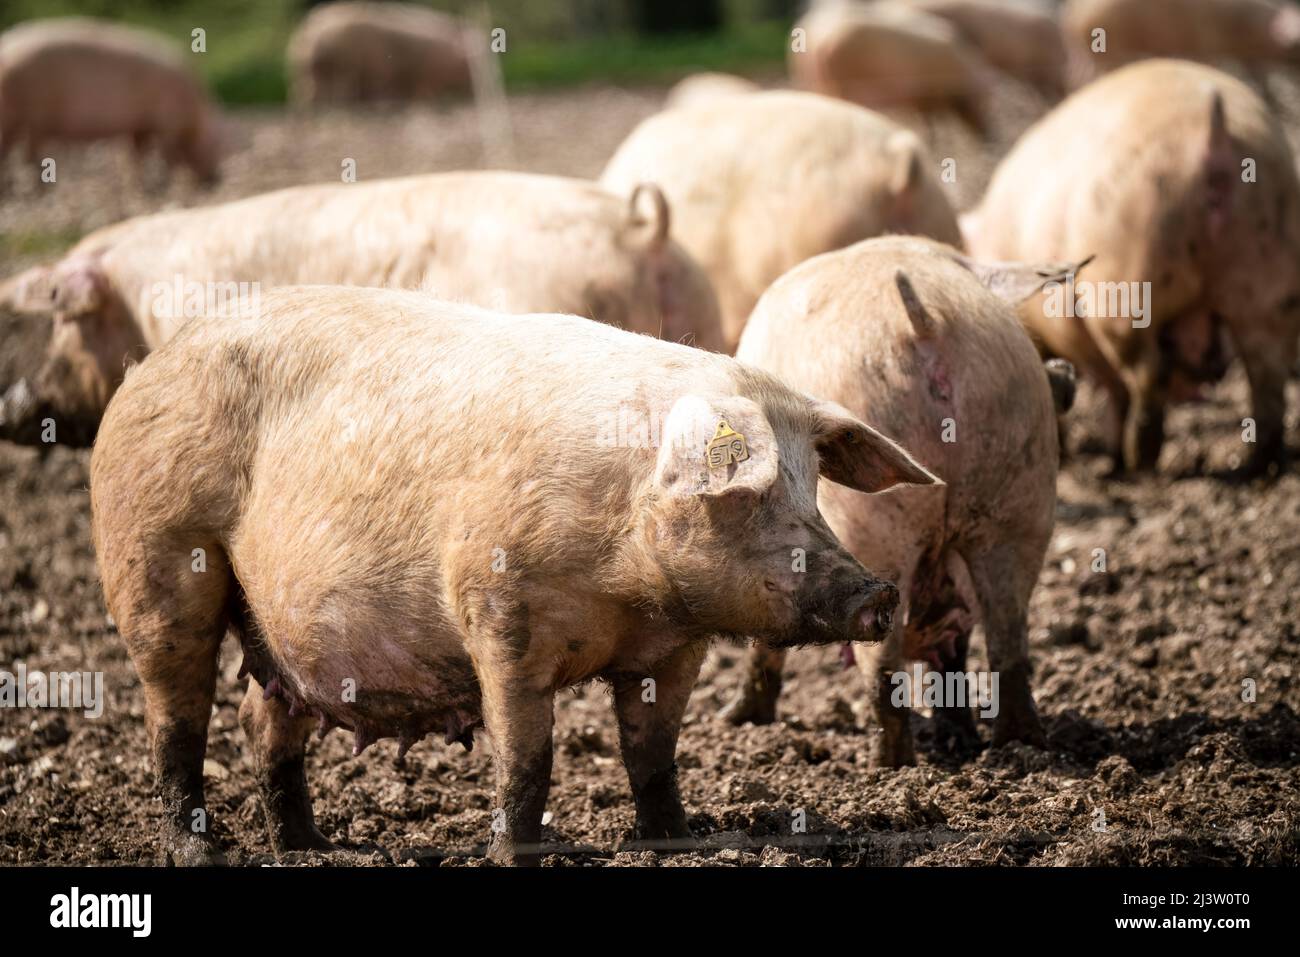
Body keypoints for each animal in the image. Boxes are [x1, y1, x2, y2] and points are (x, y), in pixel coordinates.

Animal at [0, 18, 222, 184]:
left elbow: (135, 154)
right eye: (215, 143)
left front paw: (137, 182)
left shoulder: (140, 125)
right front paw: (164, 180)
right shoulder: (168, 123)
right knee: (27, 154)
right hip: (32, 114)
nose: (216, 179)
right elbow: (167, 155)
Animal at [90, 284, 939, 864]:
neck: (632, 590)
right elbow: (526, 759)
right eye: (751, 492)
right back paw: (200, 850)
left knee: (260, 717)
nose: (876, 592)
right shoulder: (498, 617)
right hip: (156, 561)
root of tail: (142, 370)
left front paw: (677, 839)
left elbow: (652, 753)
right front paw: (514, 855)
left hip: (280, 627)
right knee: (174, 717)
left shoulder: (674, 648)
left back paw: (311, 847)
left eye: (811, 486)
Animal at [723, 236, 1075, 765]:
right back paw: (1015, 745)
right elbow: (954, 652)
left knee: (884, 666)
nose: (1065, 376)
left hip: (874, 528)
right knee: (1007, 642)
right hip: (1020, 502)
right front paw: (959, 737)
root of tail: (927, 324)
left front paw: (738, 720)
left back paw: (889, 765)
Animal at [964, 59, 1300, 475]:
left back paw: (1141, 461)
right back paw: (1259, 466)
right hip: (1269, 276)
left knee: (1146, 375)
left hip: (1129, 277)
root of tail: (1215, 134)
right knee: (1267, 375)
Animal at [1062, 0, 1300, 91]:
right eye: (1294, 46)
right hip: (1108, 48)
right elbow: (1210, 64)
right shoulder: (1206, 42)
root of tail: (1071, 18)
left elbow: (1260, 76)